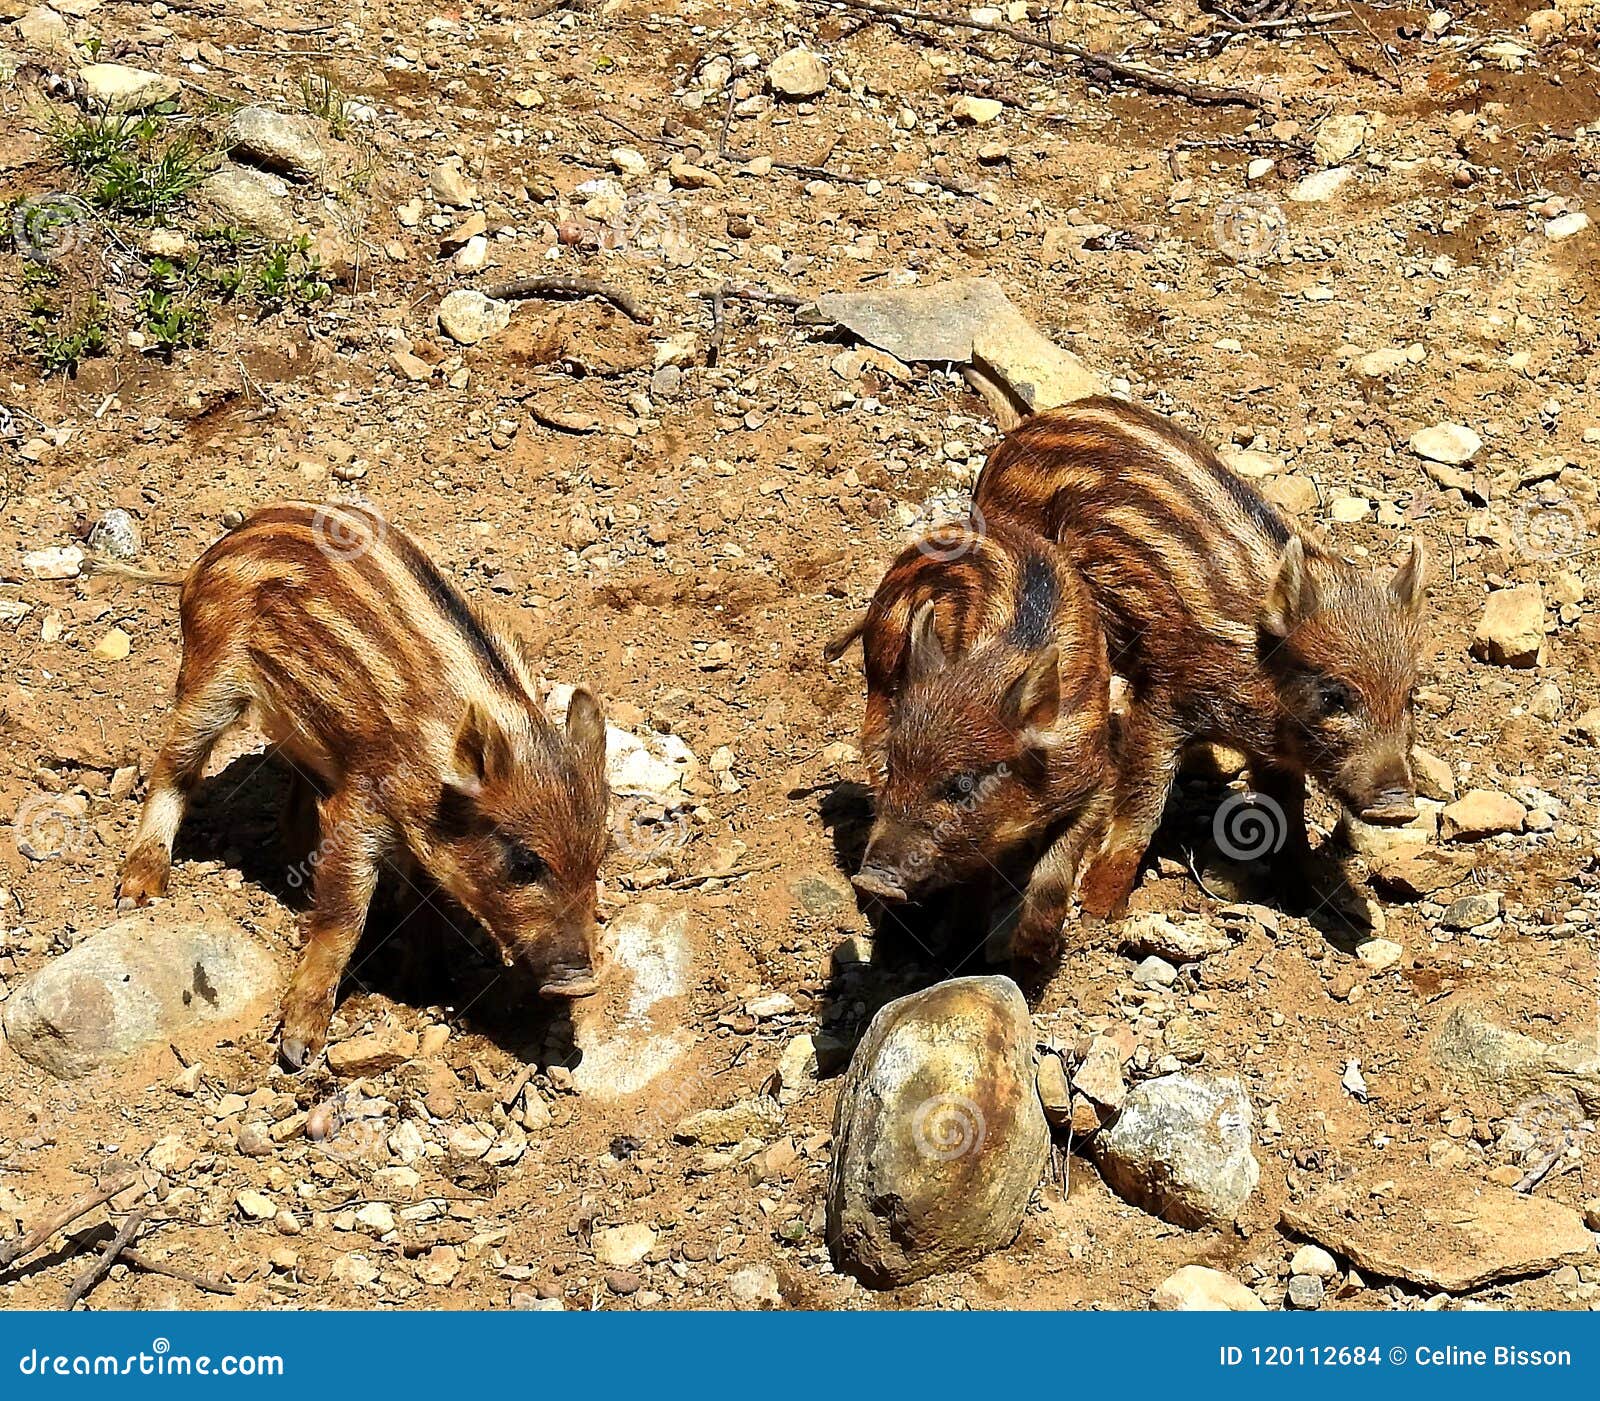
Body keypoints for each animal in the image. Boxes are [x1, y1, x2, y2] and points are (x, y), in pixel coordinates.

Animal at [104, 502, 611, 1068]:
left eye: (599, 859)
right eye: (525, 863)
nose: (583, 984)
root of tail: (206, 559)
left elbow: (427, 899)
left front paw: (426, 984)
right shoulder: (361, 807)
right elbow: (344, 919)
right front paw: (298, 1048)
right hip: (209, 679)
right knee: (172, 768)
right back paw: (139, 893)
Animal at [825, 517, 1114, 979]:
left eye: (961, 785)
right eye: (897, 770)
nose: (871, 878)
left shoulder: (1095, 779)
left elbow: (1054, 873)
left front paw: (1030, 964)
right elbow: (973, 887)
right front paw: (962, 964)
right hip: (882, 683)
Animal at [973, 395, 1430, 918]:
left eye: (1410, 697)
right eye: (1334, 696)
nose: (1399, 805)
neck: (1257, 665)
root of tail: (1020, 434)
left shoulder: (1274, 753)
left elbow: (1288, 815)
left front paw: (1309, 897)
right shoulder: (1164, 698)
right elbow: (1143, 805)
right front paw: (1101, 910)